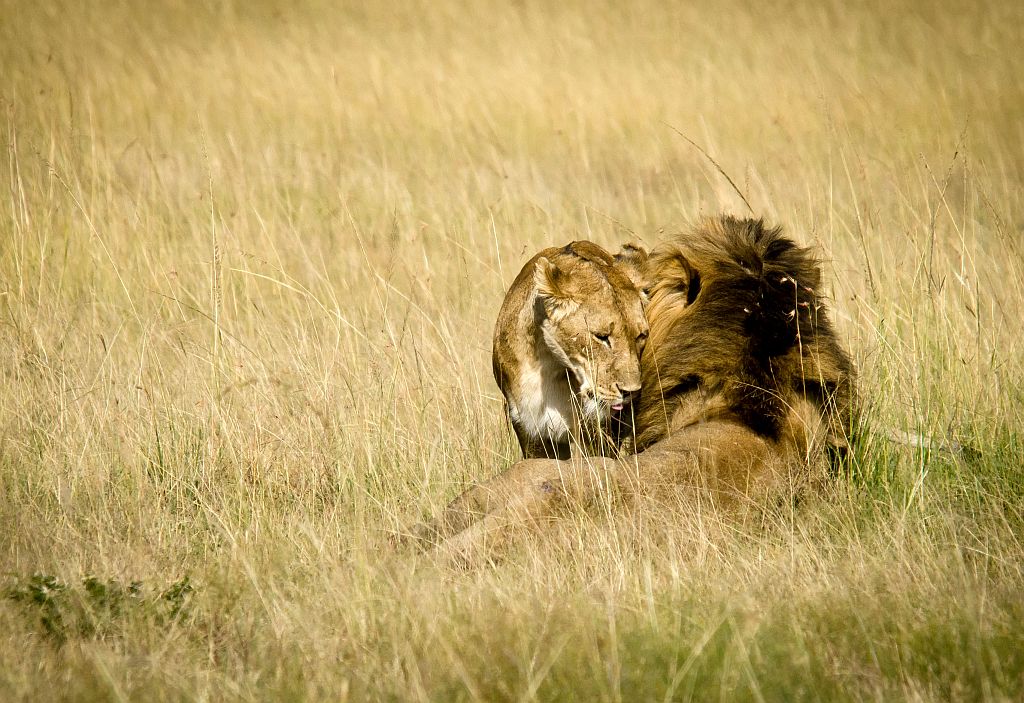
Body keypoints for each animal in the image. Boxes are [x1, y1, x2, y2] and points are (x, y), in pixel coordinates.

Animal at [492, 240, 650, 460]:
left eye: (641, 336)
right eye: (601, 337)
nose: (631, 392)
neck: (550, 366)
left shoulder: (596, 430)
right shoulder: (528, 427)